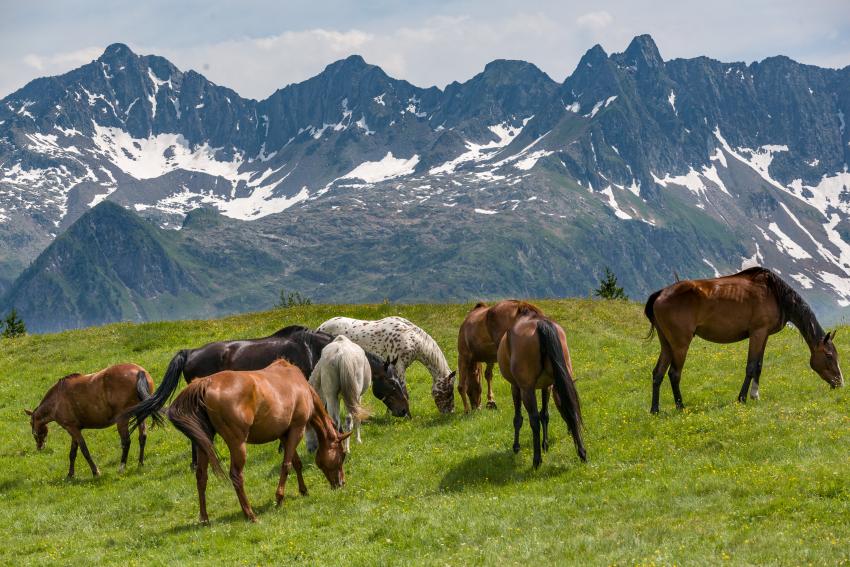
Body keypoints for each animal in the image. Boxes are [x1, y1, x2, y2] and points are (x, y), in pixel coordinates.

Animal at [25, 364, 154, 478]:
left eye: (31, 423)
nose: (40, 446)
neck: (57, 398)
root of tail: (139, 372)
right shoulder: (74, 430)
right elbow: (72, 453)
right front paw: (70, 475)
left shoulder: (72, 428)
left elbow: (84, 450)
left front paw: (95, 472)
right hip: (140, 414)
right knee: (142, 437)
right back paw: (140, 464)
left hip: (122, 420)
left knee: (126, 442)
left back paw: (121, 468)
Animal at [167, 358, 351, 523]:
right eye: (342, 455)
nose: (341, 483)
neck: (298, 383)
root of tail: (205, 382)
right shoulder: (297, 430)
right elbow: (287, 465)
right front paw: (279, 498)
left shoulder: (284, 434)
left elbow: (296, 463)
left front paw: (303, 490)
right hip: (238, 444)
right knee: (236, 475)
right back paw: (250, 514)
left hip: (204, 443)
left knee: (201, 476)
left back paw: (205, 518)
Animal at [318, 316, 457, 413]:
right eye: (448, 392)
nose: (449, 412)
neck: (410, 337)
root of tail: (321, 327)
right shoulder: (399, 367)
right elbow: (403, 392)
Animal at [497, 306, 586, 468]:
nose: (570, 429)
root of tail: (540, 324)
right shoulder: (547, 386)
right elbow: (545, 414)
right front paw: (545, 444)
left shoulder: (516, 387)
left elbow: (518, 418)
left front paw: (516, 447)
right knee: (566, 411)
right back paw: (582, 452)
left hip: (527, 390)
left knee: (533, 420)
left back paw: (536, 460)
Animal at [645, 266, 843, 413]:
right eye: (828, 356)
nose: (840, 383)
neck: (774, 293)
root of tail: (661, 293)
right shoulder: (757, 333)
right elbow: (751, 366)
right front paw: (742, 398)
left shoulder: (764, 335)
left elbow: (759, 366)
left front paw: (755, 395)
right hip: (680, 344)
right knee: (674, 374)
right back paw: (680, 407)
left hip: (667, 345)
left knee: (658, 373)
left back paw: (655, 409)